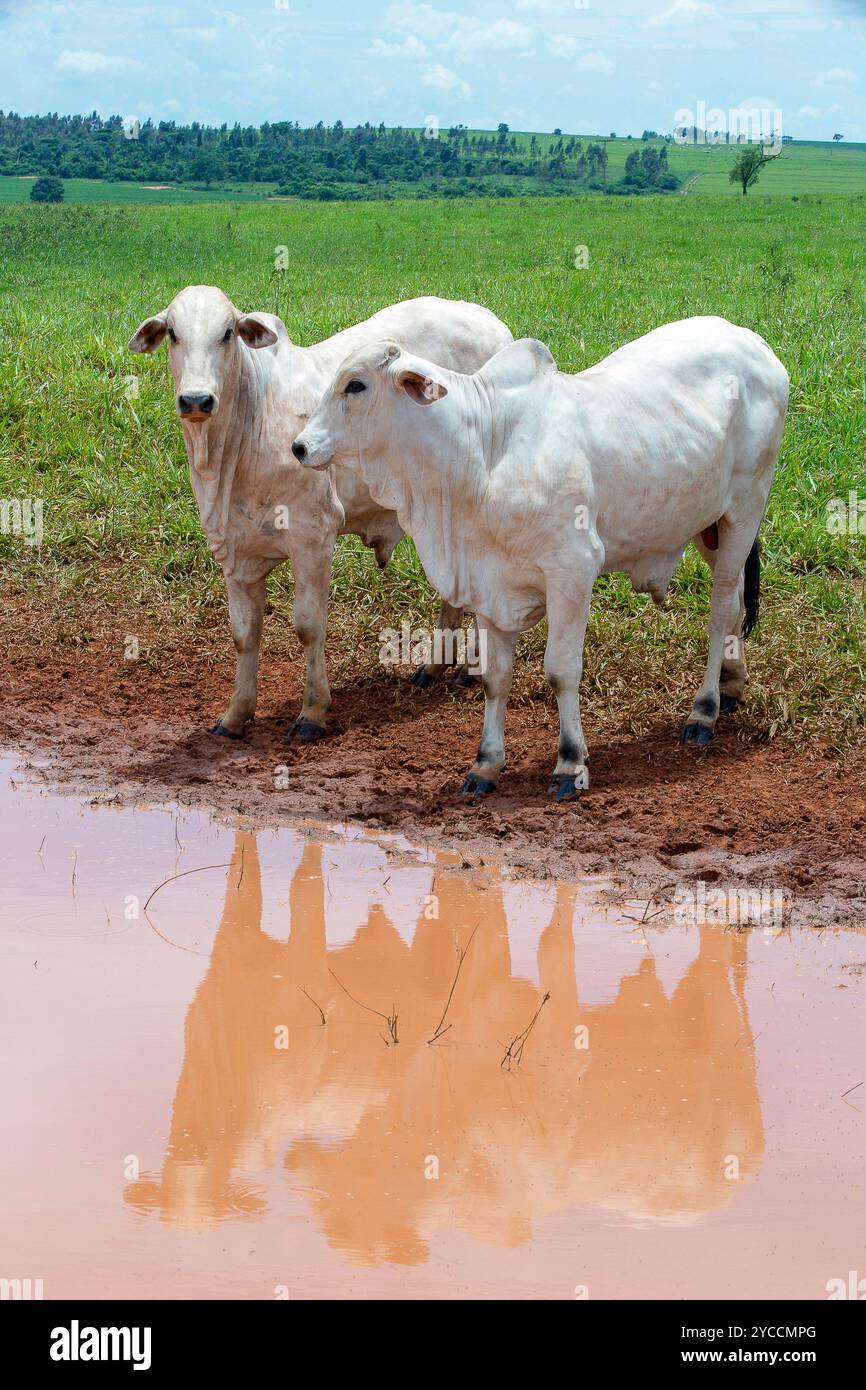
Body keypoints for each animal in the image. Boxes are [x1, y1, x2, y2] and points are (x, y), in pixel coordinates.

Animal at [128, 288, 512, 740]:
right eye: (173, 333)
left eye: (227, 333)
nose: (196, 400)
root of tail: (489, 319)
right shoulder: (233, 551)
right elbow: (244, 634)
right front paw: (235, 714)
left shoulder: (313, 538)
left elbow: (308, 626)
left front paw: (313, 711)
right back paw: (435, 668)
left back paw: (471, 669)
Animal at [291, 316, 789, 800]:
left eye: (356, 385)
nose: (299, 446)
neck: (483, 454)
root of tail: (752, 340)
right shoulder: (488, 583)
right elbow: (495, 677)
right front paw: (485, 765)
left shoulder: (573, 570)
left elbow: (561, 671)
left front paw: (570, 762)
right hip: (711, 526)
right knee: (737, 602)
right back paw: (731, 684)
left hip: (745, 508)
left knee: (721, 609)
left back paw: (704, 711)